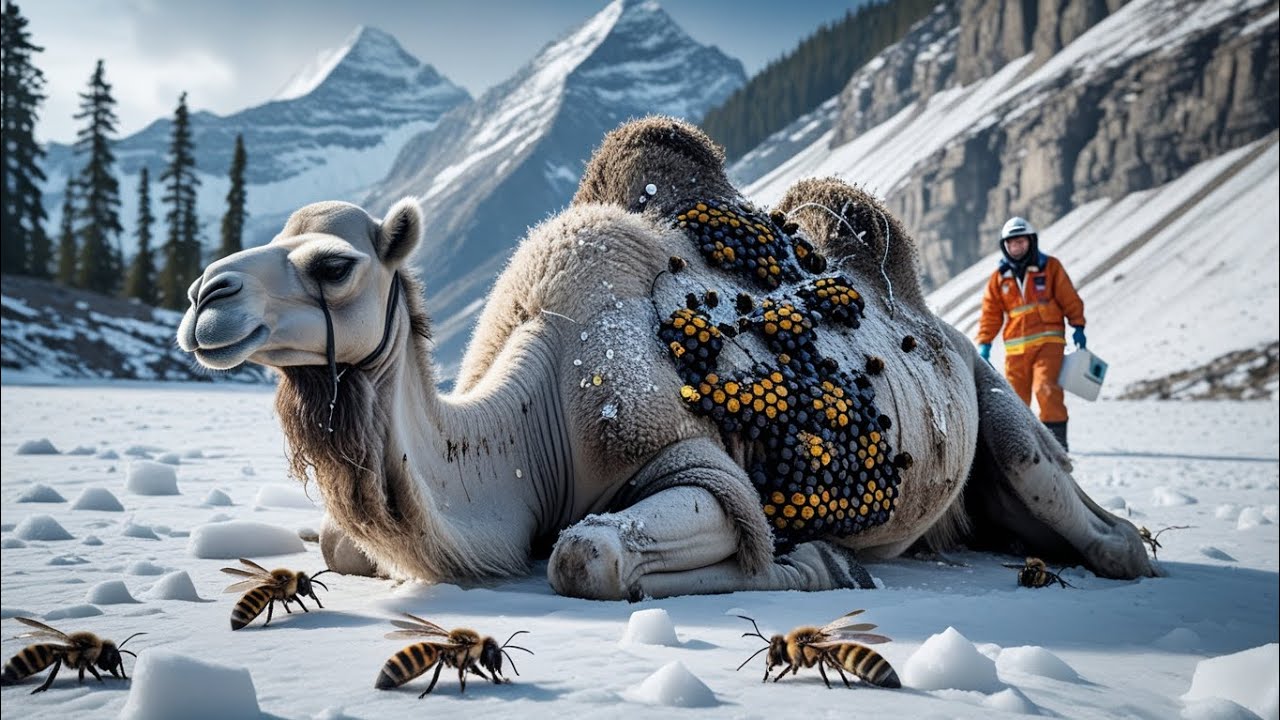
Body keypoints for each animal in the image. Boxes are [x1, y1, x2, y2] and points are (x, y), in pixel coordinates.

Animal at [177, 117, 1155, 600]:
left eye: (333, 265)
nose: (202, 298)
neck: (528, 422)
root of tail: (942, 329)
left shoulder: (692, 465)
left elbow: (588, 557)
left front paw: (813, 565)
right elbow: (340, 542)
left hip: (1001, 410)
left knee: (1105, 536)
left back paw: (1121, 545)